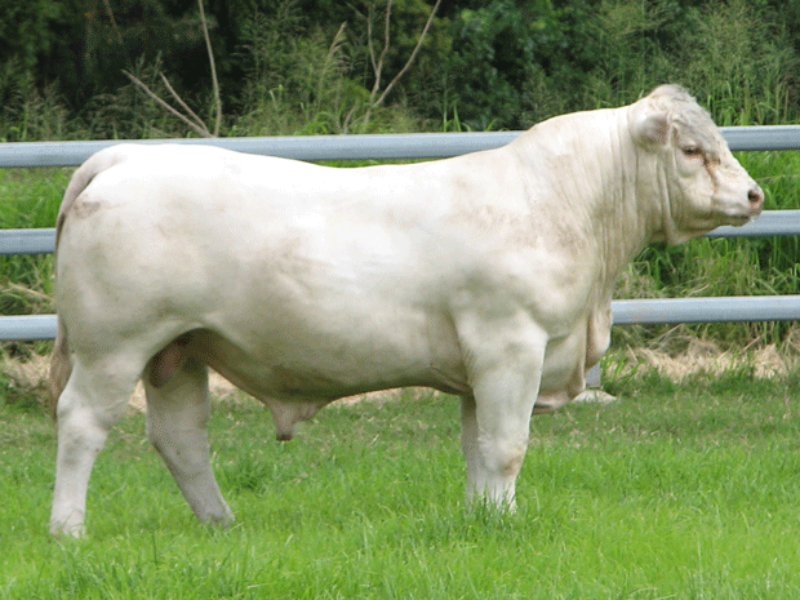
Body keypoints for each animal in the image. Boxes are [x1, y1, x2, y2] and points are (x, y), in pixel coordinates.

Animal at [48, 85, 763, 536]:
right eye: (692, 150)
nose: (755, 194)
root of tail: (127, 155)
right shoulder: (511, 344)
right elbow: (508, 446)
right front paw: (503, 522)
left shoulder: (480, 368)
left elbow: (478, 449)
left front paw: (484, 520)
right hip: (114, 344)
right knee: (83, 424)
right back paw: (68, 530)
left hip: (180, 348)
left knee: (181, 438)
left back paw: (221, 525)